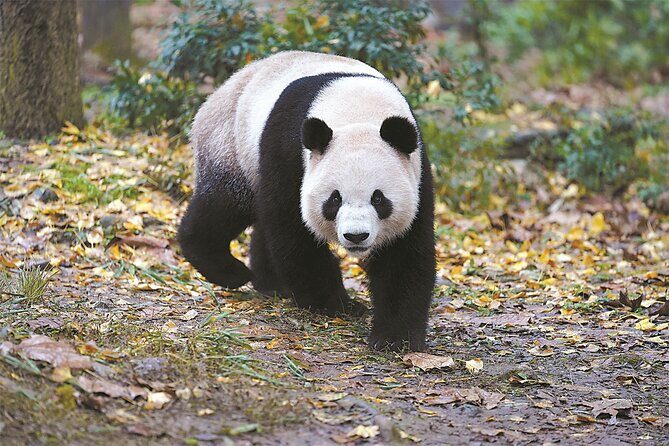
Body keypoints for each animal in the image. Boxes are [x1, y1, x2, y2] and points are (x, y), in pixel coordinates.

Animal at [178, 51, 435, 351]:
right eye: (334, 199)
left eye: (379, 198)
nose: (356, 236)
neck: (358, 112)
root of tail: (219, 92)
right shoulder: (290, 151)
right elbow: (293, 230)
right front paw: (337, 304)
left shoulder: (416, 170)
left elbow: (404, 252)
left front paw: (395, 338)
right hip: (231, 146)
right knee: (225, 205)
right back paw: (228, 269)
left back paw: (271, 283)